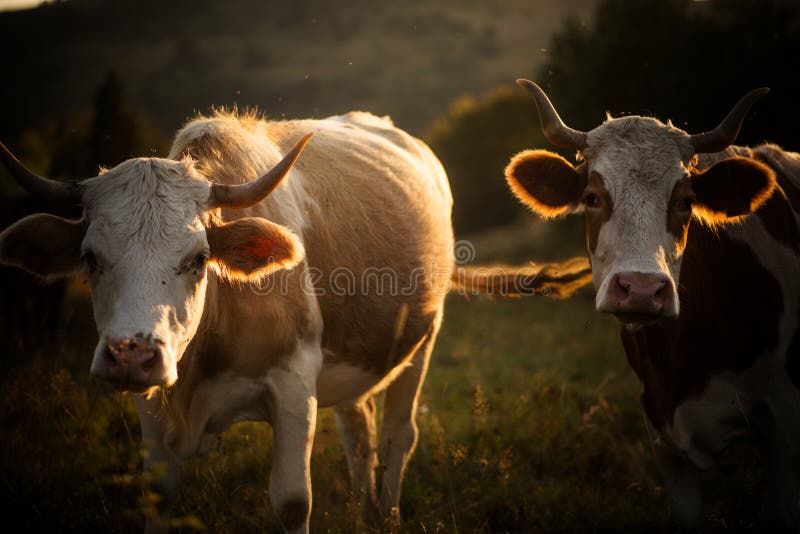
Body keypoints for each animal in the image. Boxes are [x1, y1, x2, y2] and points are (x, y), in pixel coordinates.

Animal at [0, 110, 458, 533]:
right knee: (359, 431)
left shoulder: (294, 385)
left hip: (424, 340)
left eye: (199, 258)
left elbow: (293, 502)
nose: (132, 355)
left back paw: (388, 515)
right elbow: (158, 493)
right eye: (90, 257)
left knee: (398, 434)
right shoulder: (150, 400)